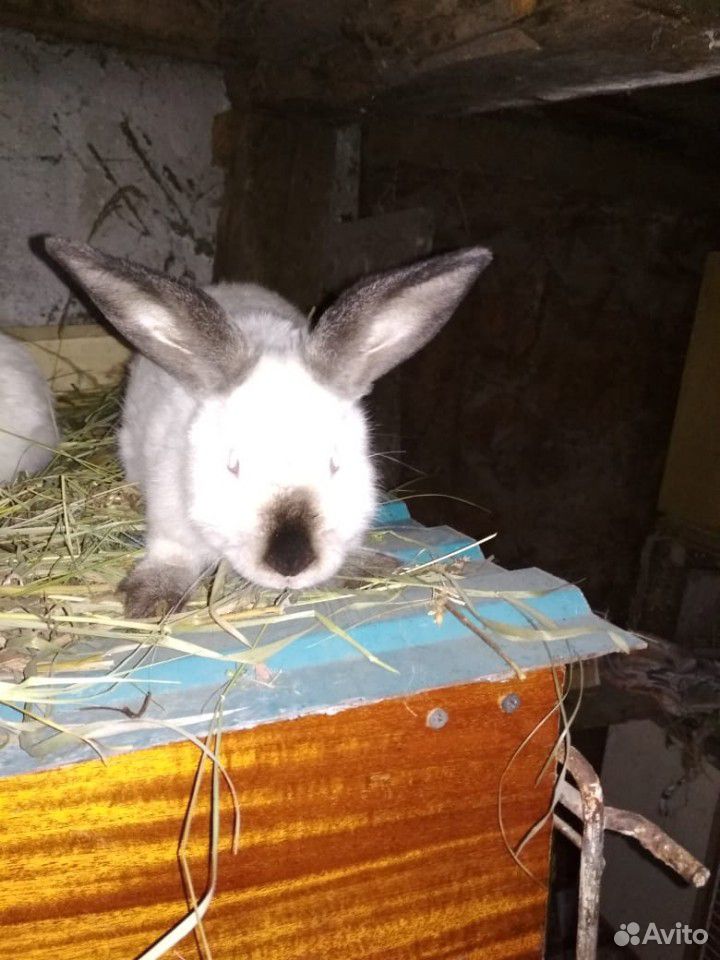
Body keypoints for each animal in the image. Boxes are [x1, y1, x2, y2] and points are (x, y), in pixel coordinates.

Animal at [44, 237, 493, 618]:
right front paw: (151, 601)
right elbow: (172, 555)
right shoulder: (170, 522)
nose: (290, 561)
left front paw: (369, 566)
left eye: (334, 464)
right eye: (233, 466)